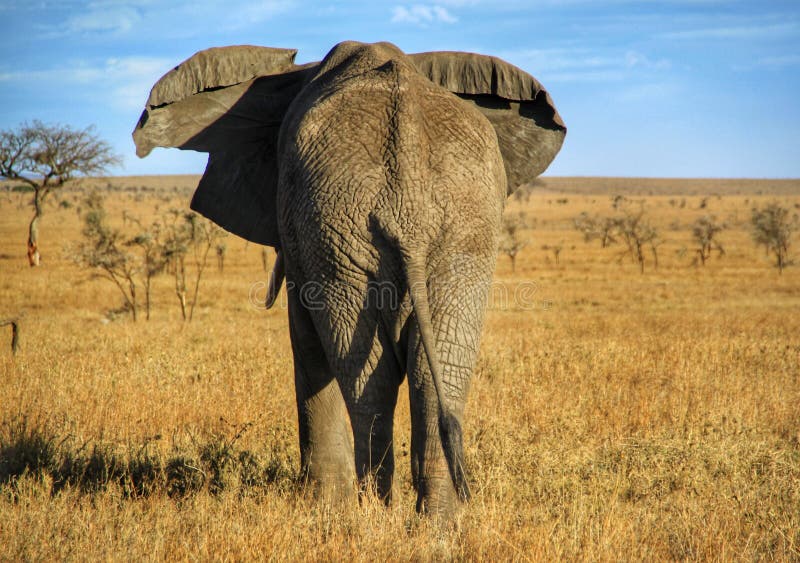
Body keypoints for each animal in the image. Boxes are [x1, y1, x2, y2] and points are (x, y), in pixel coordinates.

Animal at [133, 41, 565, 516]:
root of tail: (409, 197)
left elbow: (306, 344)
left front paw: (320, 504)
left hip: (357, 232)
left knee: (371, 379)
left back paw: (375, 512)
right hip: (444, 229)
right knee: (432, 372)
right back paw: (431, 521)